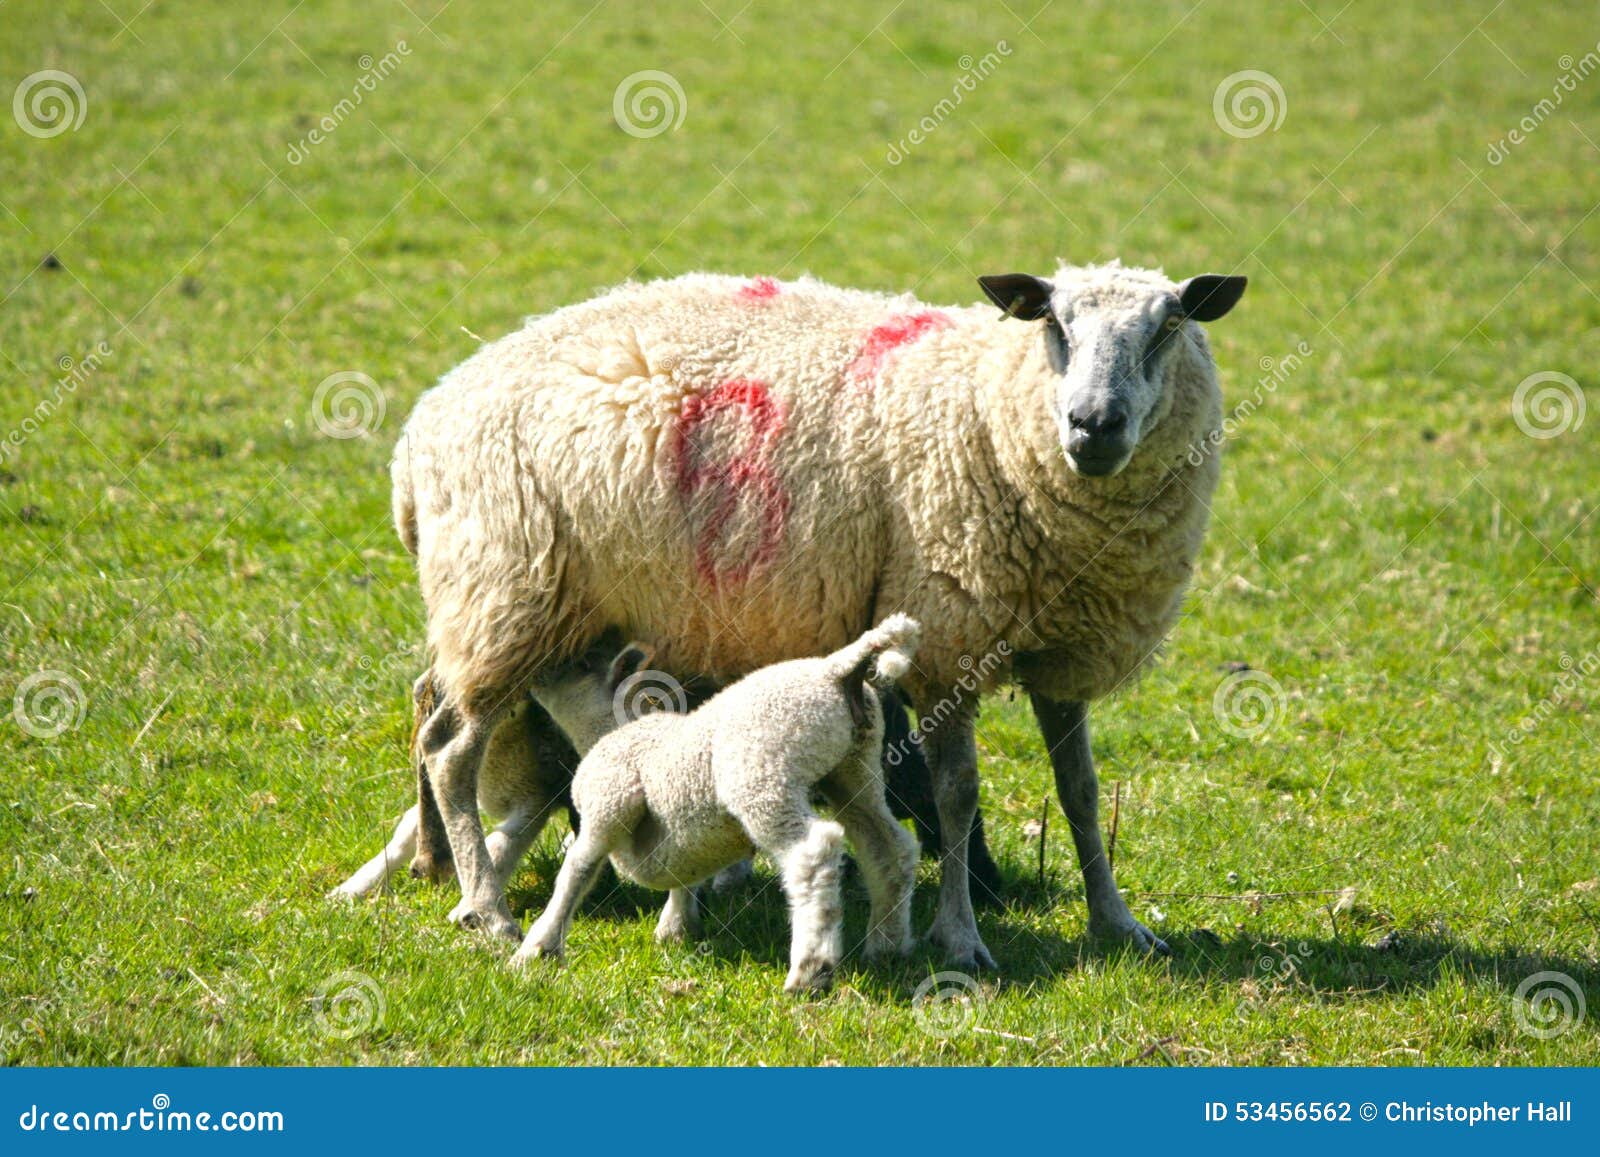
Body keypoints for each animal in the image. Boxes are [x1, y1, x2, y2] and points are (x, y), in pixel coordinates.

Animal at [512, 616, 924, 994]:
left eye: (581, 664)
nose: (537, 675)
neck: (611, 729)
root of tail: (835, 669)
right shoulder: (677, 833)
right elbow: (683, 876)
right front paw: (676, 929)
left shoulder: (607, 803)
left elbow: (576, 872)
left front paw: (537, 948)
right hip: (855, 770)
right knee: (889, 847)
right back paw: (887, 945)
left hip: (763, 775)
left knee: (813, 853)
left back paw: (811, 972)